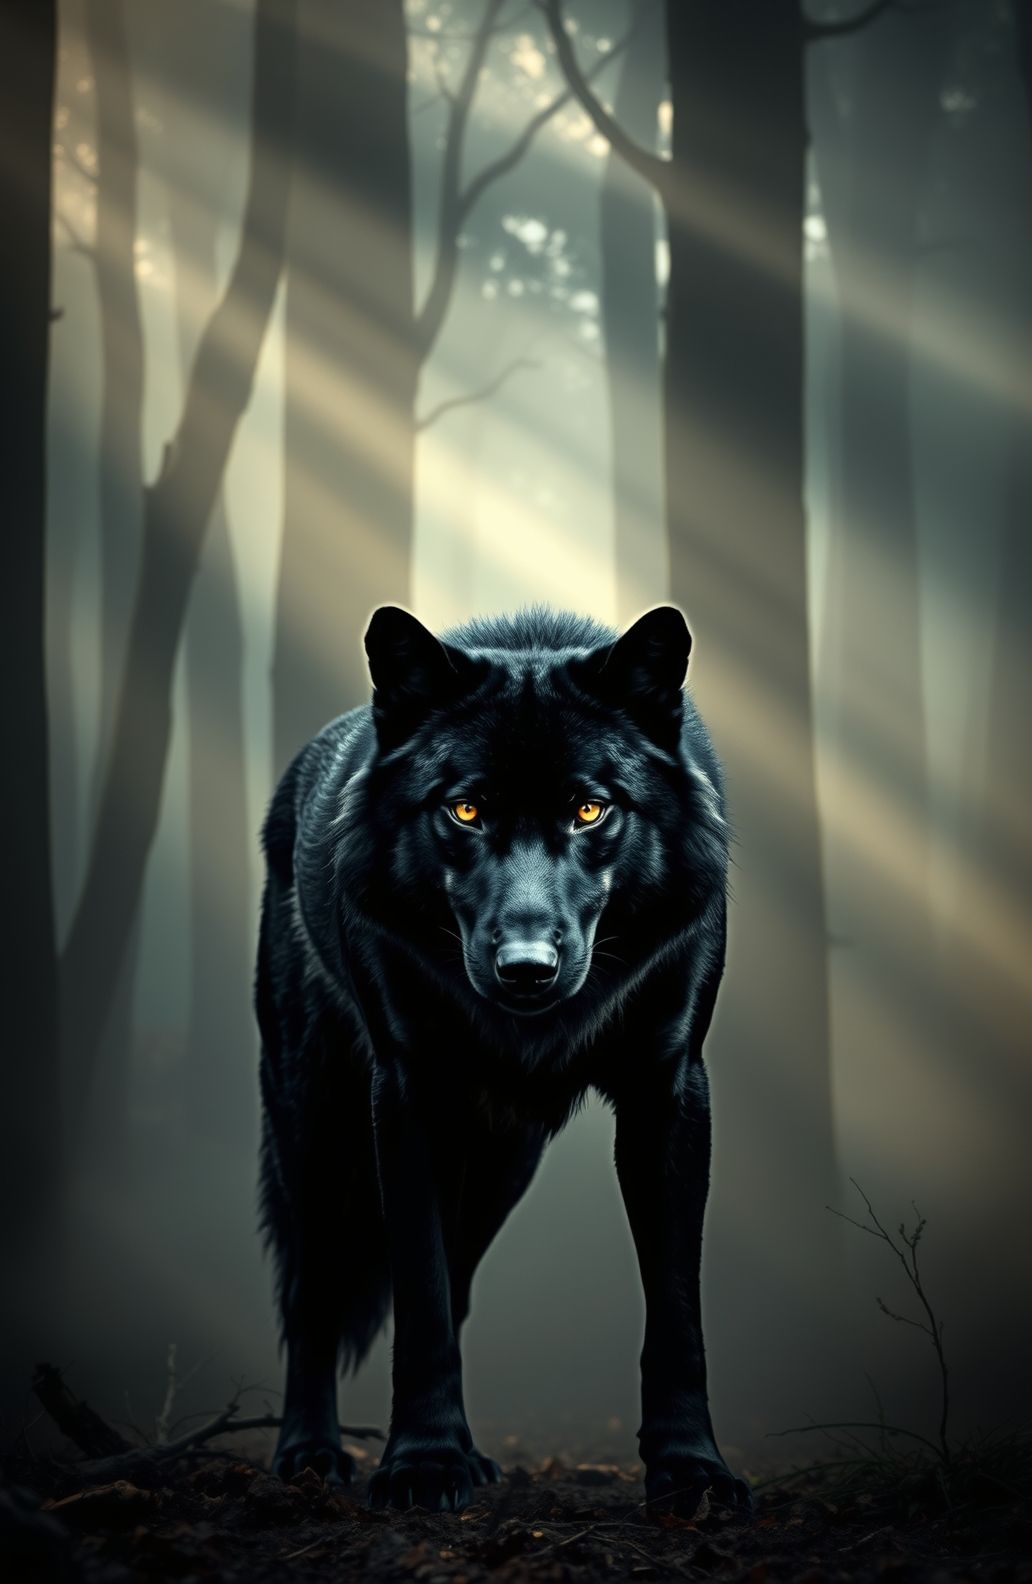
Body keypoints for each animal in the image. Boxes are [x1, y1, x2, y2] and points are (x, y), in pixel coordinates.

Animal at [255, 603, 750, 1516]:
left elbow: (676, 1311)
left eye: (590, 810)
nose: (527, 969)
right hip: (315, 1125)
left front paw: (692, 1472)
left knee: (458, 1280)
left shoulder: (667, 1092)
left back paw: (472, 1457)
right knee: (315, 1291)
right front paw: (420, 1467)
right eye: (465, 811)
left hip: (498, 1169)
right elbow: (418, 1298)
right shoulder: (406, 1098)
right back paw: (309, 1456)